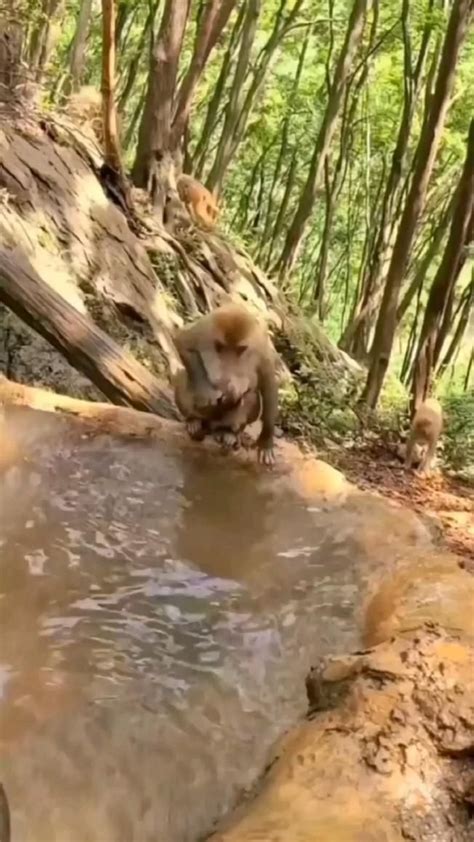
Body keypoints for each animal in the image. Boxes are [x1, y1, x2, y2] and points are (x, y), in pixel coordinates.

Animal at [173, 303, 278, 465]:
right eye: (221, 346)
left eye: (240, 349)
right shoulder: (205, 328)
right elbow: (182, 342)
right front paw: (207, 392)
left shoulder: (262, 349)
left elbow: (268, 385)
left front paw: (266, 441)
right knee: (183, 376)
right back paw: (193, 421)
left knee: (251, 397)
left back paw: (228, 433)